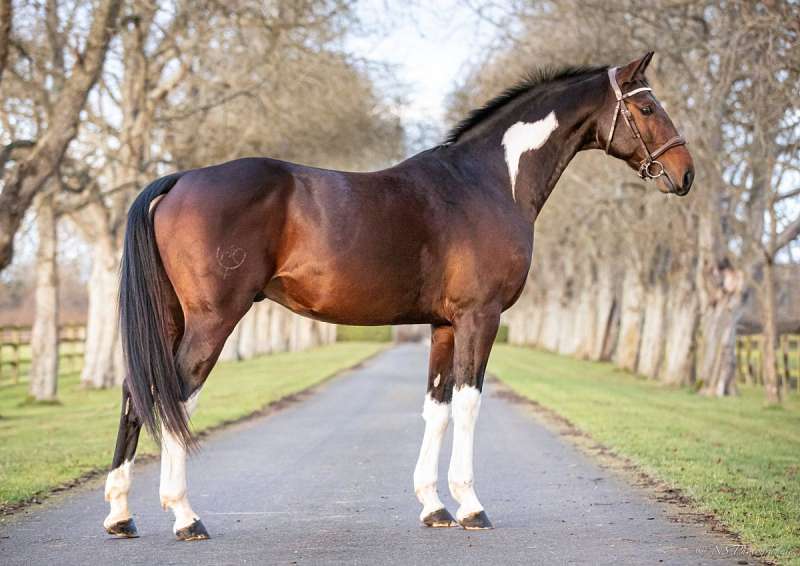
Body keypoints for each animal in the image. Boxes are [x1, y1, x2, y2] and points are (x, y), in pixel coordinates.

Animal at [102, 52, 694, 540]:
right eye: (646, 107)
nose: (685, 174)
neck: (487, 181)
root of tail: (179, 180)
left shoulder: (444, 325)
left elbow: (437, 408)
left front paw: (433, 507)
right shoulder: (480, 318)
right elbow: (469, 404)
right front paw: (471, 506)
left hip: (171, 317)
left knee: (136, 392)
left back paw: (121, 515)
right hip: (213, 319)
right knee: (177, 396)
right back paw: (184, 516)